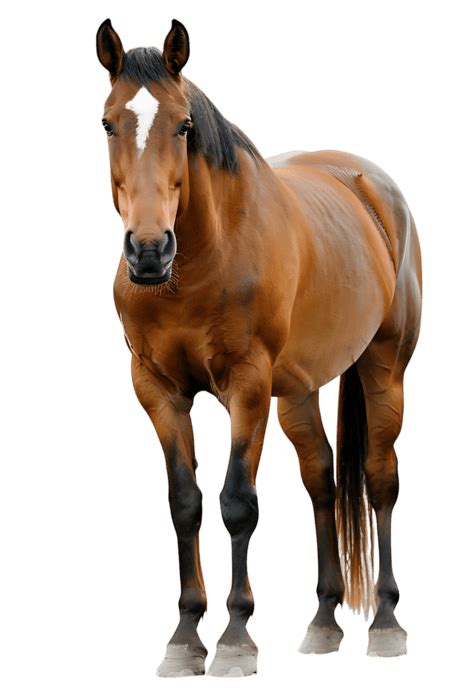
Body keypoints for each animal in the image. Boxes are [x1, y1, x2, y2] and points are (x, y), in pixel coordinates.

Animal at [96, 18, 422, 676]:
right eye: (108, 123)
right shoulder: (157, 391)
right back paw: (323, 621)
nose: (148, 251)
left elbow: (236, 502)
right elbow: (185, 503)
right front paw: (184, 636)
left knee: (380, 479)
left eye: (184, 125)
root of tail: (372, 186)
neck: (198, 265)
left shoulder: (246, 386)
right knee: (322, 478)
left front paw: (235, 638)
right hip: (298, 392)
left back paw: (386, 623)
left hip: (385, 367)